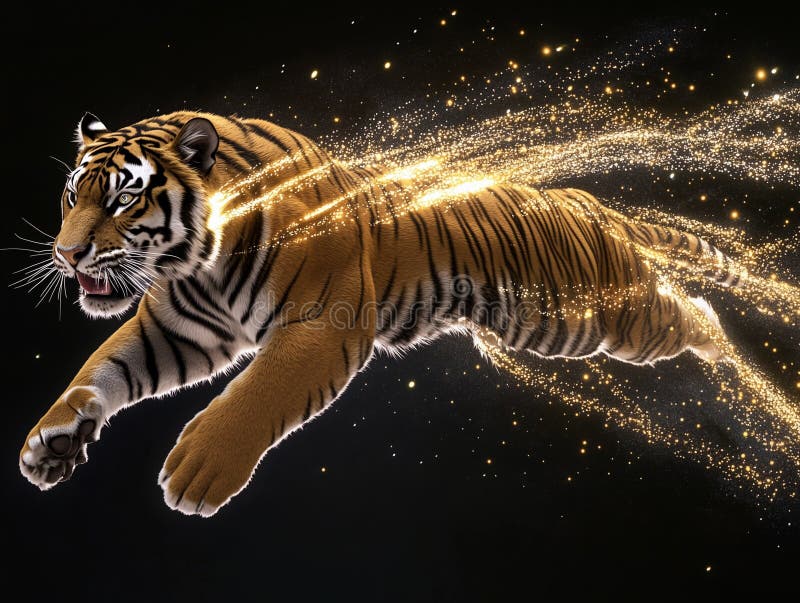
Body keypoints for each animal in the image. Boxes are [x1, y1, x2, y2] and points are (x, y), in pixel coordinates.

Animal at [19, 110, 743, 517]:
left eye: (123, 200)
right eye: (72, 196)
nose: (65, 254)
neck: (200, 260)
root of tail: (585, 202)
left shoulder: (323, 325)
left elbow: (257, 392)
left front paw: (200, 468)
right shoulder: (179, 330)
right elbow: (101, 368)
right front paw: (51, 440)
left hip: (590, 318)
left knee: (682, 311)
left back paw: (723, 342)